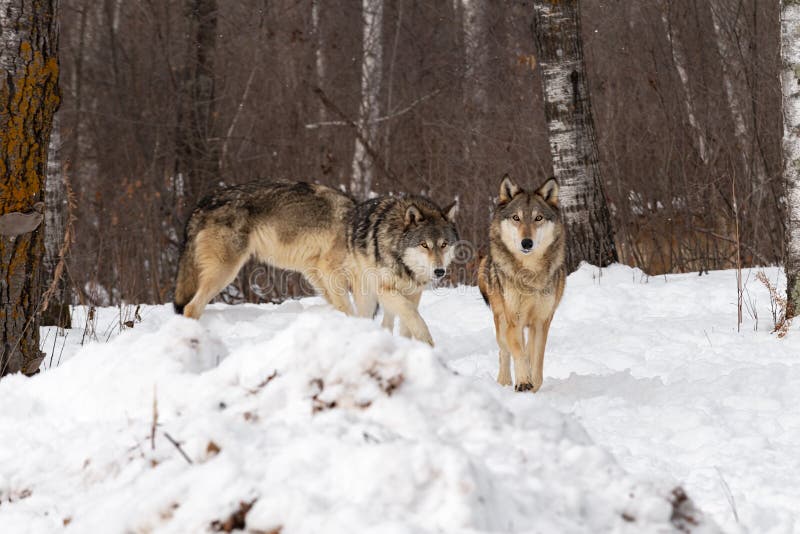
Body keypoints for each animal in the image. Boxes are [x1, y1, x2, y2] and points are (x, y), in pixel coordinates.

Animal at [173, 180, 355, 319]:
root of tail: (202, 205)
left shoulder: (315, 270)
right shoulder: (330, 268)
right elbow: (346, 306)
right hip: (224, 272)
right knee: (191, 308)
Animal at [348, 195, 458, 346]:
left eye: (444, 244)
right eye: (424, 245)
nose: (439, 271)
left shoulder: (414, 293)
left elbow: (407, 324)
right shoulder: (384, 289)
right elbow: (410, 312)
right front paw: (426, 340)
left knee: (387, 322)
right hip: (368, 297)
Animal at [478, 175, 565, 392]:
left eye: (538, 218)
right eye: (516, 218)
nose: (527, 243)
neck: (529, 274)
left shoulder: (542, 322)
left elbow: (536, 359)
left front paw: (533, 384)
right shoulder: (514, 321)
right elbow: (518, 352)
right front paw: (523, 381)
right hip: (501, 321)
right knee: (504, 351)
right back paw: (504, 381)